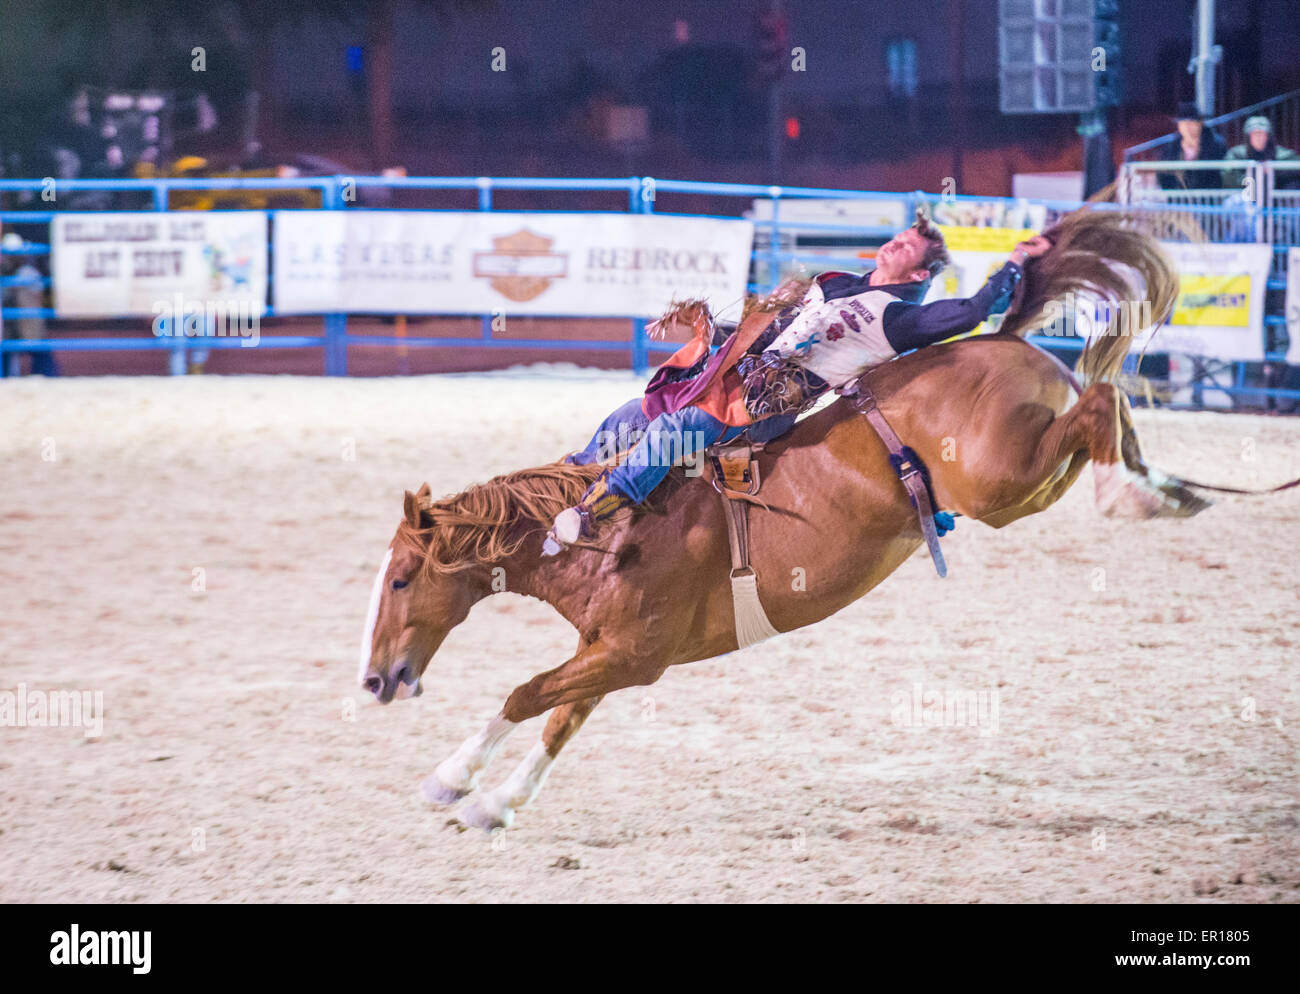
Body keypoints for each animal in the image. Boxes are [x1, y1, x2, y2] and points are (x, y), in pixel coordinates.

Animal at [358, 208, 1214, 831]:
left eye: (400, 580)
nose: (375, 679)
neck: (611, 539)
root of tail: (1006, 345)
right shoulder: (607, 652)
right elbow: (561, 717)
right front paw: (496, 803)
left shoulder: (635, 654)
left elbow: (527, 694)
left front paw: (449, 781)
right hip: (1022, 487)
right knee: (1103, 408)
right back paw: (1166, 485)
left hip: (1005, 482)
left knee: (1097, 404)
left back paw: (1136, 492)